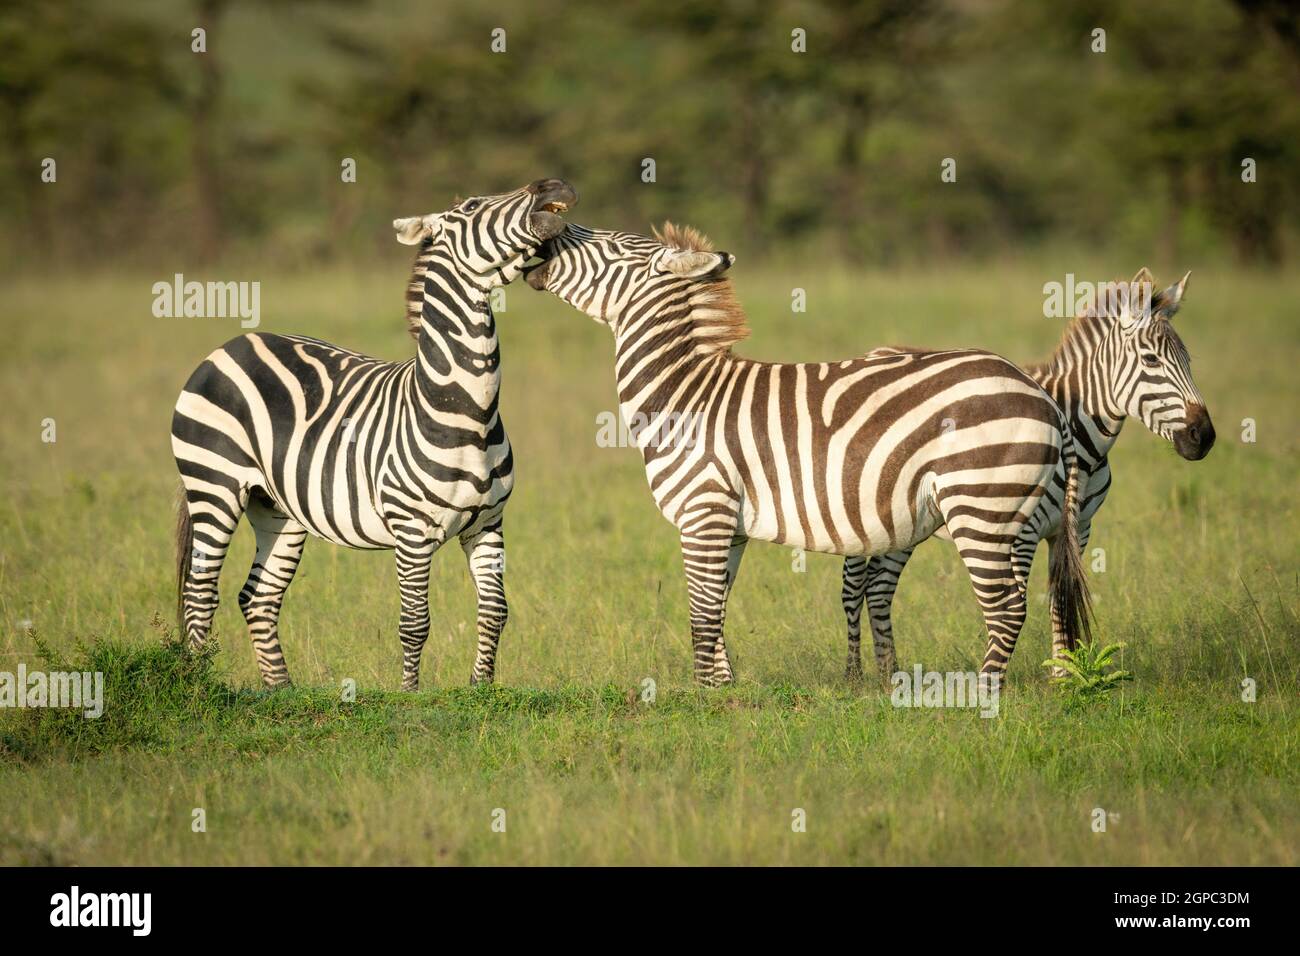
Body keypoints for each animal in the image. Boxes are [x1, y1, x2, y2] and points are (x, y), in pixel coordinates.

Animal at [171, 178, 576, 689]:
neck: (470, 411)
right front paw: (410, 695)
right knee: (200, 593)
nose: (552, 185)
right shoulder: (411, 530)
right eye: (471, 206)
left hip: (277, 507)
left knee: (258, 598)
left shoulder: (488, 523)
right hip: (214, 484)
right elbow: (415, 622)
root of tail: (233, 343)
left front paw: (481, 690)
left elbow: (494, 612)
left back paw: (281, 693)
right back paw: (197, 686)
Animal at [524, 221, 1091, 685]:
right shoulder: (728, 525)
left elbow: (701, 611)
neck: (685, 393)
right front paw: (727, 689)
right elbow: (718, 606)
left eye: (611, 246)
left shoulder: (703, 511)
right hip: (1011, 517)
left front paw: (704, 698)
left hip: (980, 503)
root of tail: (1038, 393)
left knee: (1006, 607)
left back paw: (980, 693)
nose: (542, 245)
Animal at [843, 269, 1214, 680]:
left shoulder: (1076, 530)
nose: (1204, 437)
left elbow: (1059, 598)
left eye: (1189, 359)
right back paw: (854, 676)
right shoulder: (1020, 533)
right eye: (1150, 359)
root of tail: (876, 351)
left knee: (879, 587)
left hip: (904, 523)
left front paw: (1065, 676)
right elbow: (1016, 600)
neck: (1079, 437)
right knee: (854, 585)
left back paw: (888, 675)